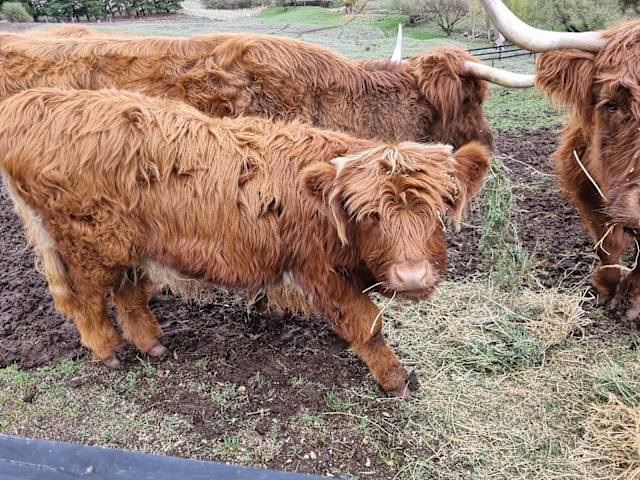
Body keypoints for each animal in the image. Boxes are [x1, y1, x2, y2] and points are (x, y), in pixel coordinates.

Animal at [0, 88, 490, 396]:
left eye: (437, 210)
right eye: (370, 215)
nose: (413, 277)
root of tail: (29, 103)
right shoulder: (317, 269)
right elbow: (367, 323)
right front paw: (396, 379)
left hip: (127, 243)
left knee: (128, 292)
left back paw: (152, 344)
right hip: (86, 240)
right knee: (88, 297)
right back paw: (107, 352)